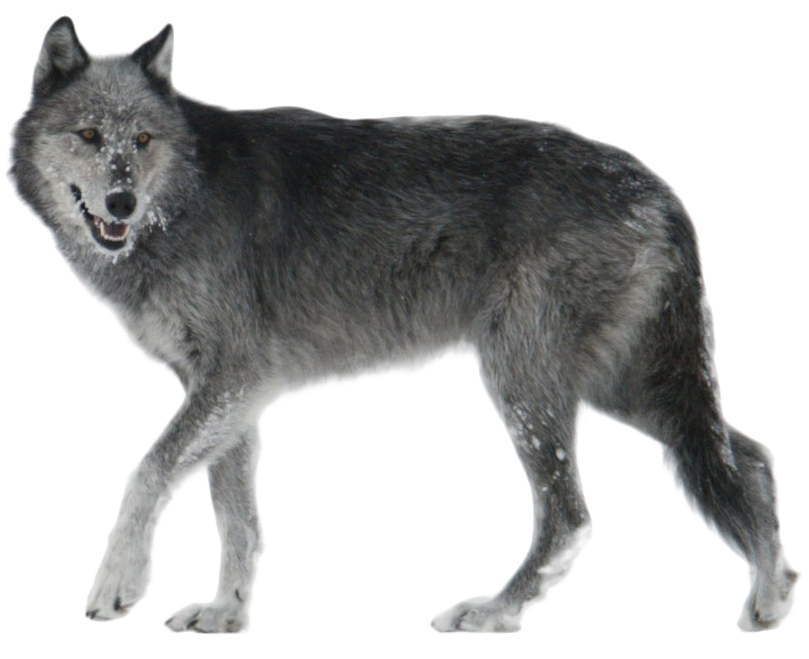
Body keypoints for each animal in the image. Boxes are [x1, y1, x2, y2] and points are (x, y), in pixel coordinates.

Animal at [7, 17, 799, 635]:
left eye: (141, 140)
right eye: (89, 135)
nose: (121, 201)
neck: (186, 196)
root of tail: (660, 188)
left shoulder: (230, 380)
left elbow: (150, 469)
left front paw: (117, 584)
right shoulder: (232, 393)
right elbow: (235, 513)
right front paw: (229, 613)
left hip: (531, 382)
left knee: (572, 514)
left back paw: (491, 613)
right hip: (623, 387)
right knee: (751, 456)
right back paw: (770, 600)